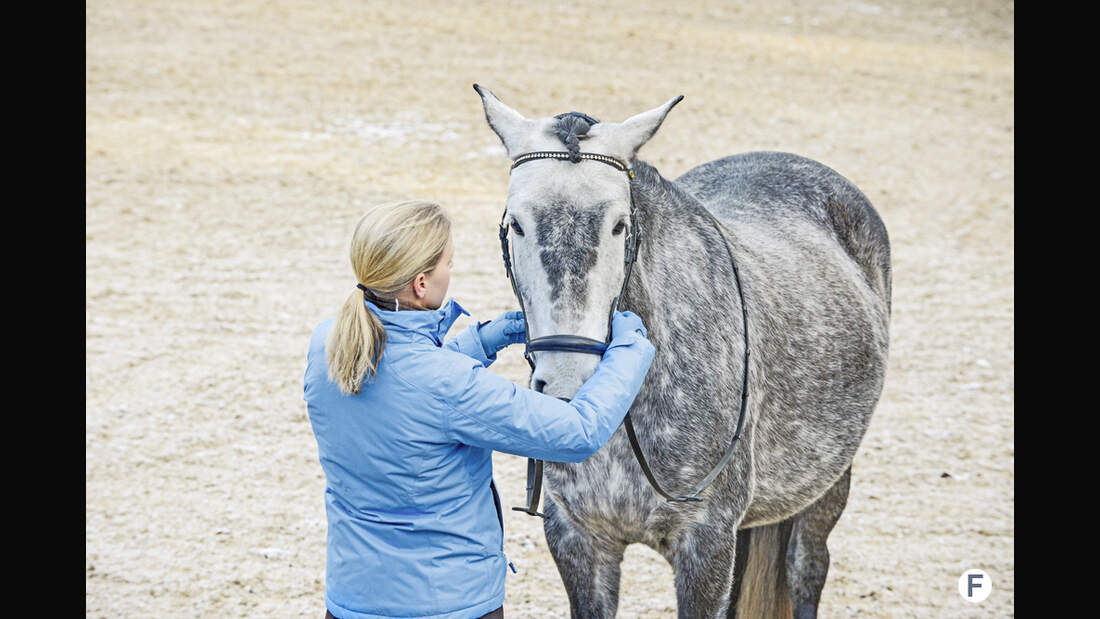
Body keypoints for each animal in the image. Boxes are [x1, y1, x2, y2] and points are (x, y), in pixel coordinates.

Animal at [473, 85, 891, 619]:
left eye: (619, 225)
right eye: (517, 224)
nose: (570, 383)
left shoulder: (705, 544)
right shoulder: (577, 537)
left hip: (826, 486)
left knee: (806, 569)